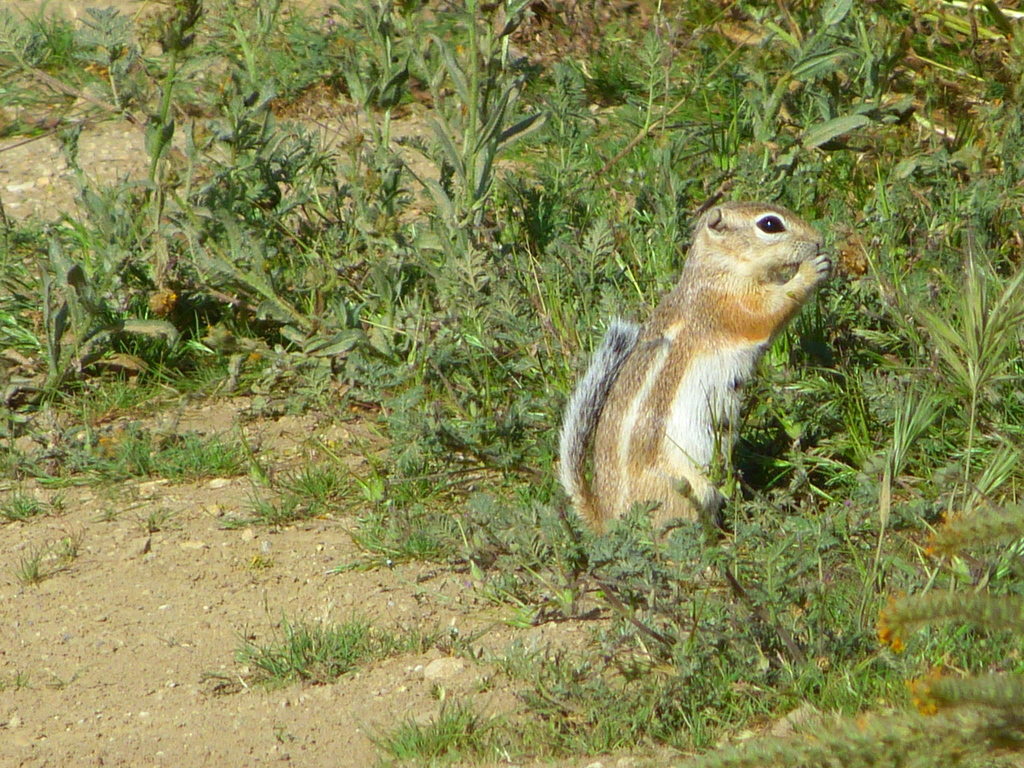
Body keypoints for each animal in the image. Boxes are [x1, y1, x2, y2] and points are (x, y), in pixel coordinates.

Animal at [559, 201, 831, 532]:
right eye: (770, 225)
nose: (818, 240)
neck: (715, 270)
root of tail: (607, 522)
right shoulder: (729, 307)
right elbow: (767, 312)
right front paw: (812, 270)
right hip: (681, 494)